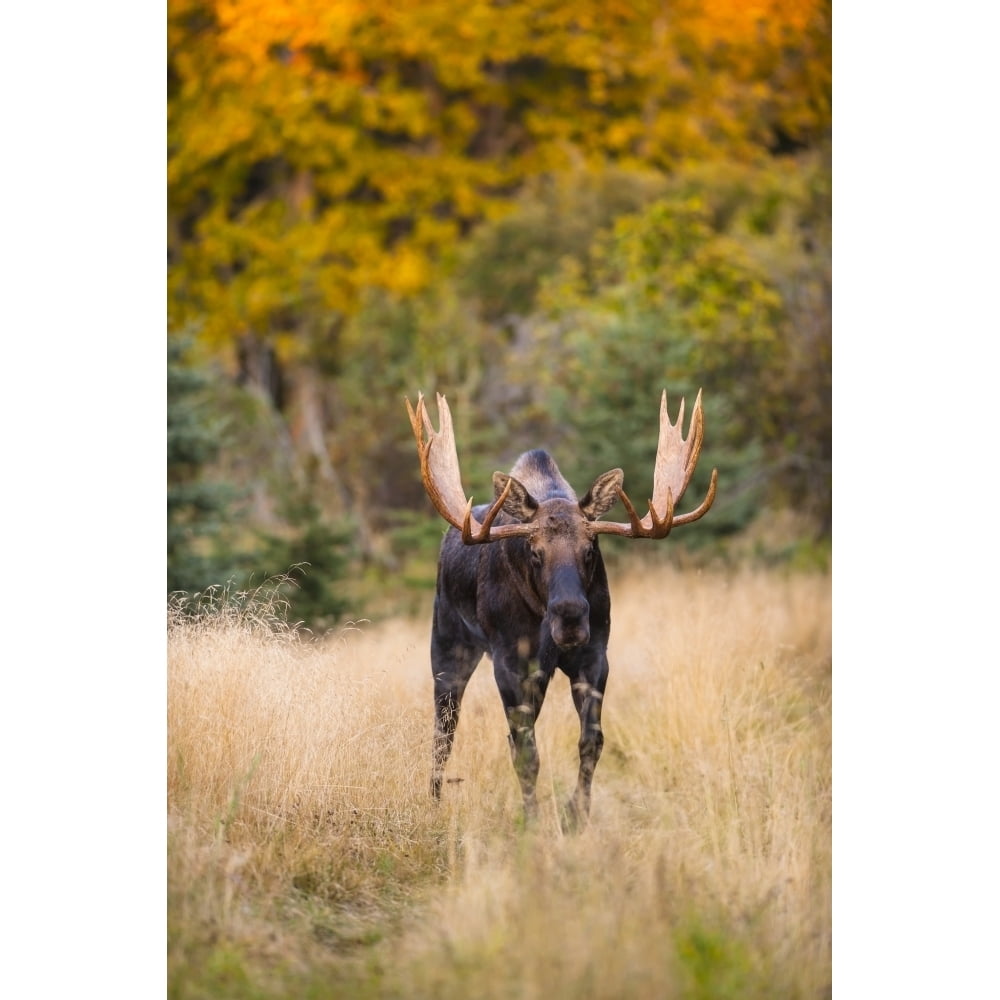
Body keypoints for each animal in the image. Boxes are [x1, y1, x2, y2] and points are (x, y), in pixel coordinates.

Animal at [405, 390, 717, 830]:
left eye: (590, 549)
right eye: (535, 552)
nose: (570, 616)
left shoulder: (594, 656)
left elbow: (591, 741)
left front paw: (576, 815)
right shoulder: (511, 662)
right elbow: (525, 753)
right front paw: (534, 823)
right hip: (448, 647)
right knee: (443, 733)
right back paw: (433, 803)